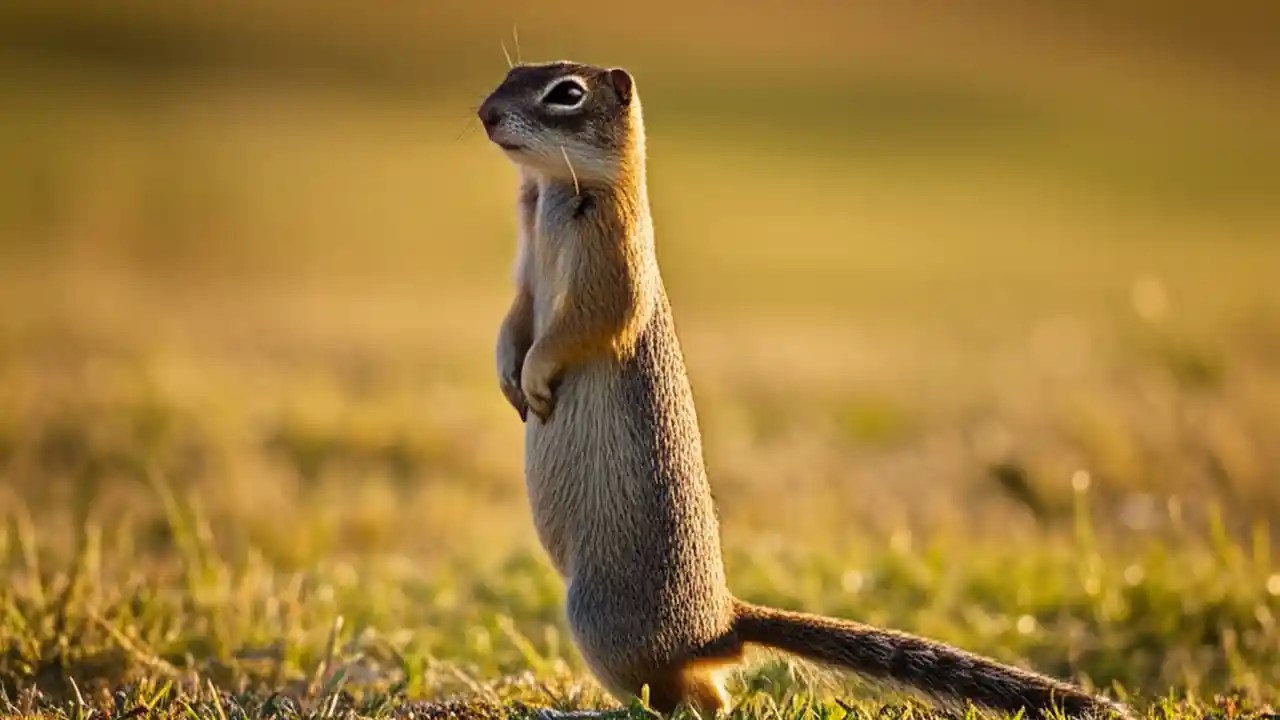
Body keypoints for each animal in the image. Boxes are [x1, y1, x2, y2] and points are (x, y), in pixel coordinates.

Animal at [477, 61, 1128, 720]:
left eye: (567, 93)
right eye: (511, 73)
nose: (485, 113)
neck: (553, 192)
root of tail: (721, 624)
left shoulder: (612, 260)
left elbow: (585, 325)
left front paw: (534, 378)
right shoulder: (526, 264)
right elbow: (518, 312)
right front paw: (509, 373)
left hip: (598, 619)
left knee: (696, 699)